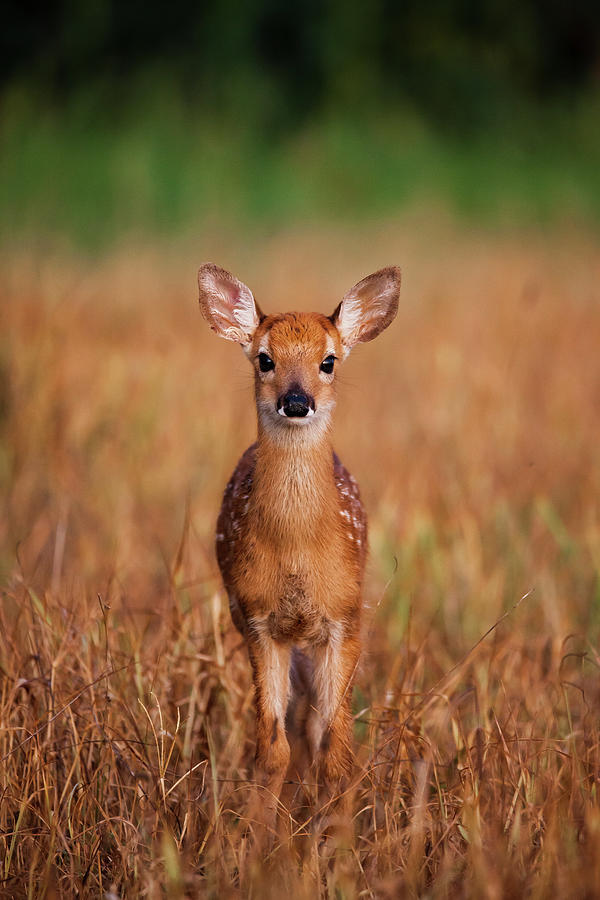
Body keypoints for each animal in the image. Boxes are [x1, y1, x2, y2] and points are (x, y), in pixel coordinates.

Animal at [198, 263, 401, 837]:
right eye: (265, 358)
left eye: (328, 360)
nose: (295, 401)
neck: (296, 552)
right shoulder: (259, 623)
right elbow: (273, 749)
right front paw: (260, 838)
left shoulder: (345, 617)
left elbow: (337, 748)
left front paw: (338, 841)